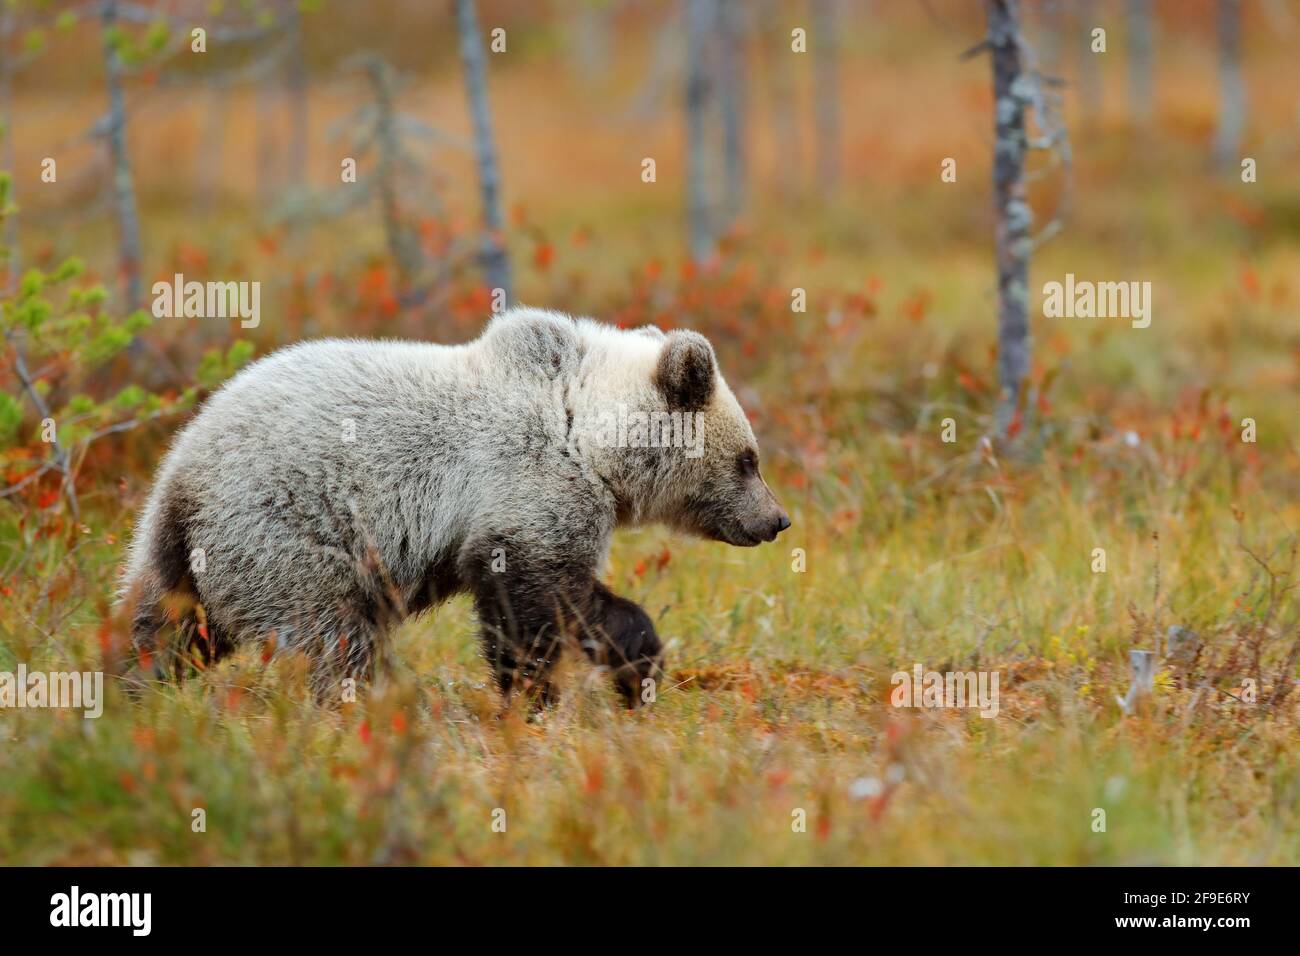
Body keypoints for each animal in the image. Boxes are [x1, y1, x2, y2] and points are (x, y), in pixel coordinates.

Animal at [120, 307, 790, 706]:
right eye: (748, 459)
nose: (777, 520)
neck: (588, 433)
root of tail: (183, 465)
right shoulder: (528, 491)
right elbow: (540, 603)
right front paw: (567, 690)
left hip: (193, 550)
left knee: (165, 622)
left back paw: (130, 690)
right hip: (287, 531)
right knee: (330, 635)